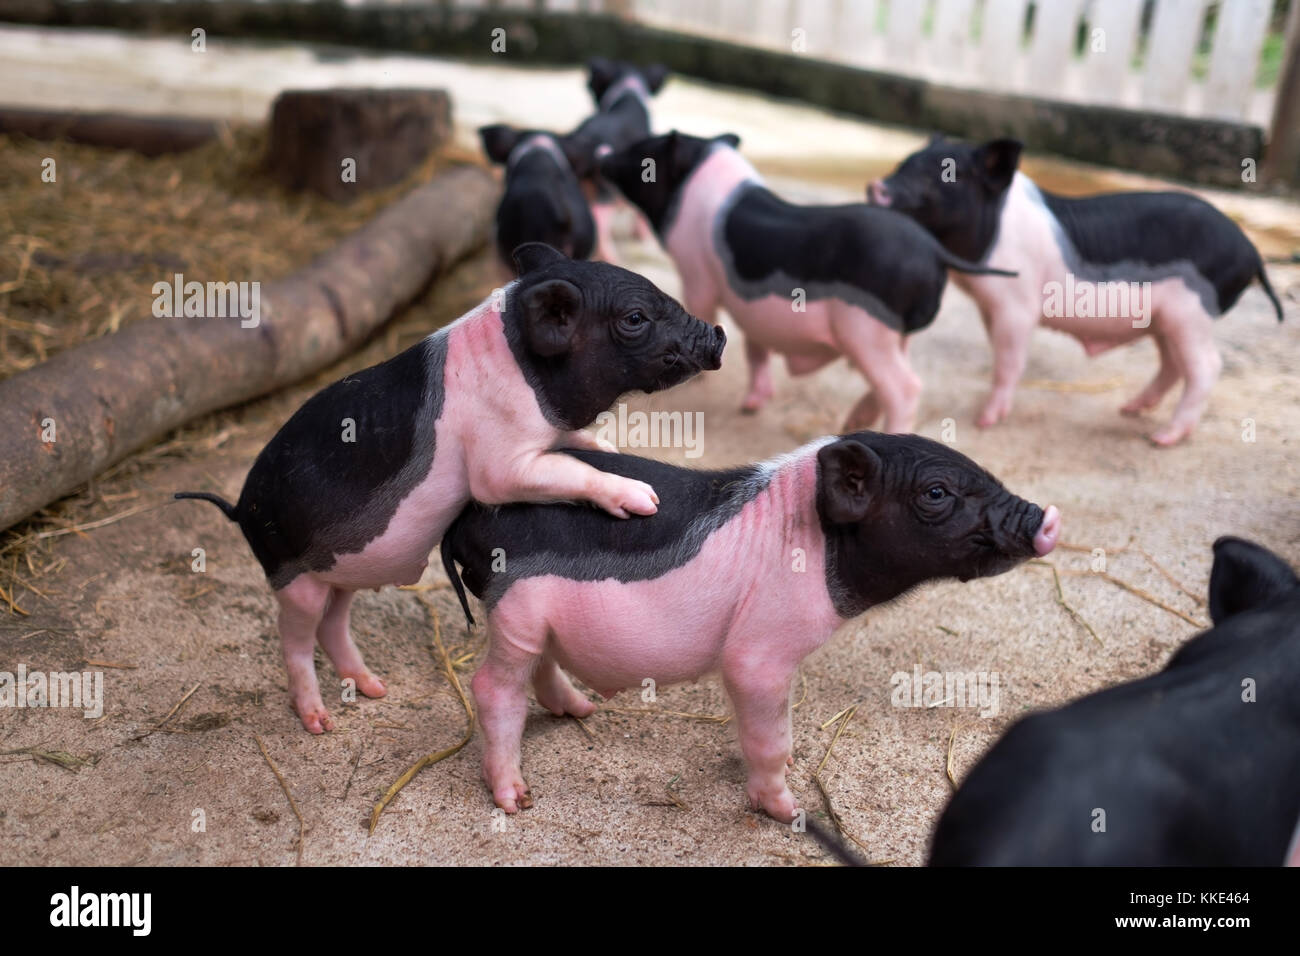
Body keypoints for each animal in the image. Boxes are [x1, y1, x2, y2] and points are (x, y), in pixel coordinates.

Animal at [175, 243, 725, 734]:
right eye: (635, 317)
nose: (718, 335)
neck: (528, 369)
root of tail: (240, 507)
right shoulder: (499, 466)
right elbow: (551, 472)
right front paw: (644, 499)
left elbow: (583, 445)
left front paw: (612, 451)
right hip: (291, 572)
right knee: (294, 638)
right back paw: (320, 722)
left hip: (341, 569)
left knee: (334, 624)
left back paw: (375, 689)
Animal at [440, 432, 1060, 820]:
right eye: (936, 493)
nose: (1046, 516)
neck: (813, 537)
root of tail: (464, 517)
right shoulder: (759, 650)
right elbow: (767, 729)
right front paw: (788, 811)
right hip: (514, 609)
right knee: (492, 687)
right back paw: (515, 800)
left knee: (540, 668)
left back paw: (582, 711)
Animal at [564, 58, 669, 262]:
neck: (628, 88)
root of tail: (585, 139)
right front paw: (641, 237)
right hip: (604, 190)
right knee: (600, 220)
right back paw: (614, 259)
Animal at [599, 131, 1017, 434]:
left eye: (642, 155)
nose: (603, 153)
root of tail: (935, 250)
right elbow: (755, 346)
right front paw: (752, 405)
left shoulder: (695, 271)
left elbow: (701, 308)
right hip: (894, 333)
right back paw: (854, 423)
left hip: (867, 330)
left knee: (906, 387)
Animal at [869, 137, 1285, 445]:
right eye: (904, 163)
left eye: (942, 176)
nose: (875, 186)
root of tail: (1250, 250)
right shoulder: (991, 306)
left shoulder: (1016, 305)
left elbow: (1009, 361)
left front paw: (984, 421)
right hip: (1167, 320)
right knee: (1172, 365)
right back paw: (1130, 409)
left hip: (1193, 313)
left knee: (1206, 367)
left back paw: (1163, 438)